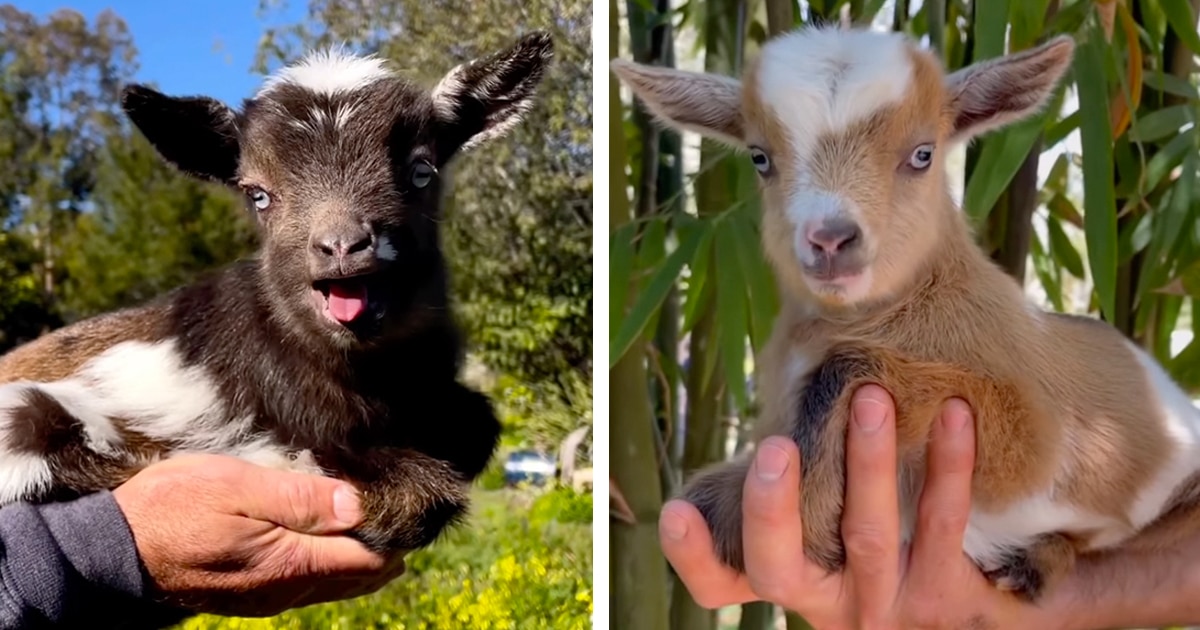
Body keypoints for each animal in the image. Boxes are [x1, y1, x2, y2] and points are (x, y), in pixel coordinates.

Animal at [0, 32, 554, 556]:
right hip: (24, 415)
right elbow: (422, 494)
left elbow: (481, 425)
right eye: (258, 194)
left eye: (423, 171)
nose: (341, 246)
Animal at [613, 27, 1200, 602]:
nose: (830, 239)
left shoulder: (1037, 425)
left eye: (922, 154)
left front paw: (809, 516)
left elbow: (849, 367)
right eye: (760, 158)